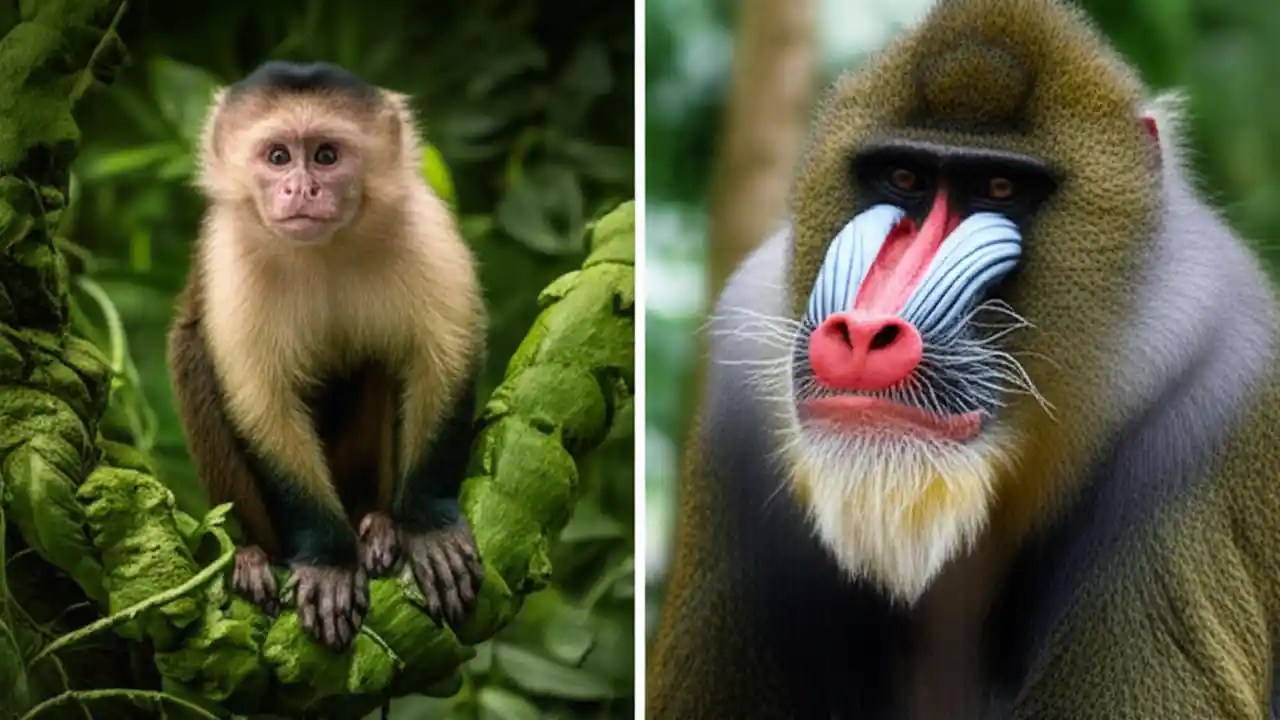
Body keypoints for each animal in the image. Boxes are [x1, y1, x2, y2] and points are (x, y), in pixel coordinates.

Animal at [167, 61, 486, 652]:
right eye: (277, 157)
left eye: (326, 156)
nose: (302, 188)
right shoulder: (228, 255)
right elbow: (260, 406)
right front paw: (329, 562)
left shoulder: (424, 224)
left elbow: (443, 363)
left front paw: (426, 525)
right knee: (191, 351)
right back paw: (253, 554)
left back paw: (379, 524)